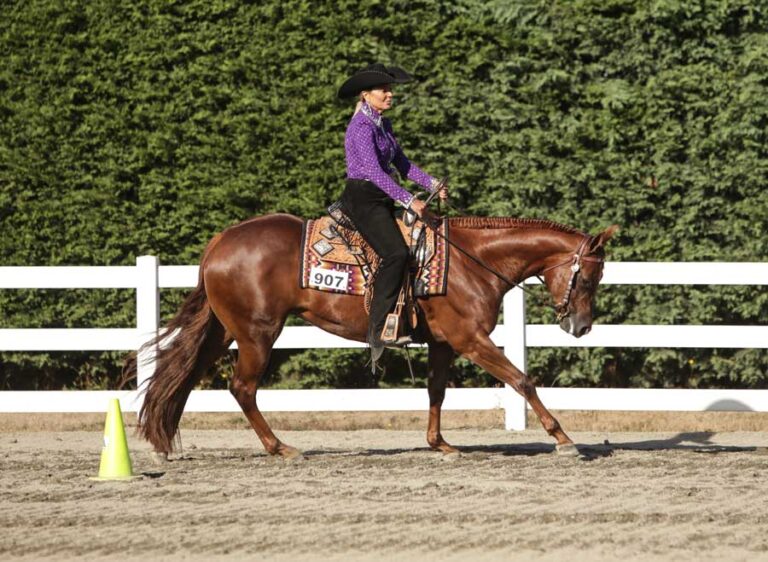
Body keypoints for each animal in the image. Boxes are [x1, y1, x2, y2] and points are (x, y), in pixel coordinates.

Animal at [125, 213, 618, 459]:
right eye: (590, 278)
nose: (581, 326)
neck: (470, 261)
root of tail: (221, 241)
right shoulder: (470, 339)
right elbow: (521, 380)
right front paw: (564, 439)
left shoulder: (443, 343)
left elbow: (436, 391)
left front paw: (440, 444)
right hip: (257, 334)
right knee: (242, 387)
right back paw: (281, 448)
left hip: (226, 330)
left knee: (185, 376)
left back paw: (164, 442)